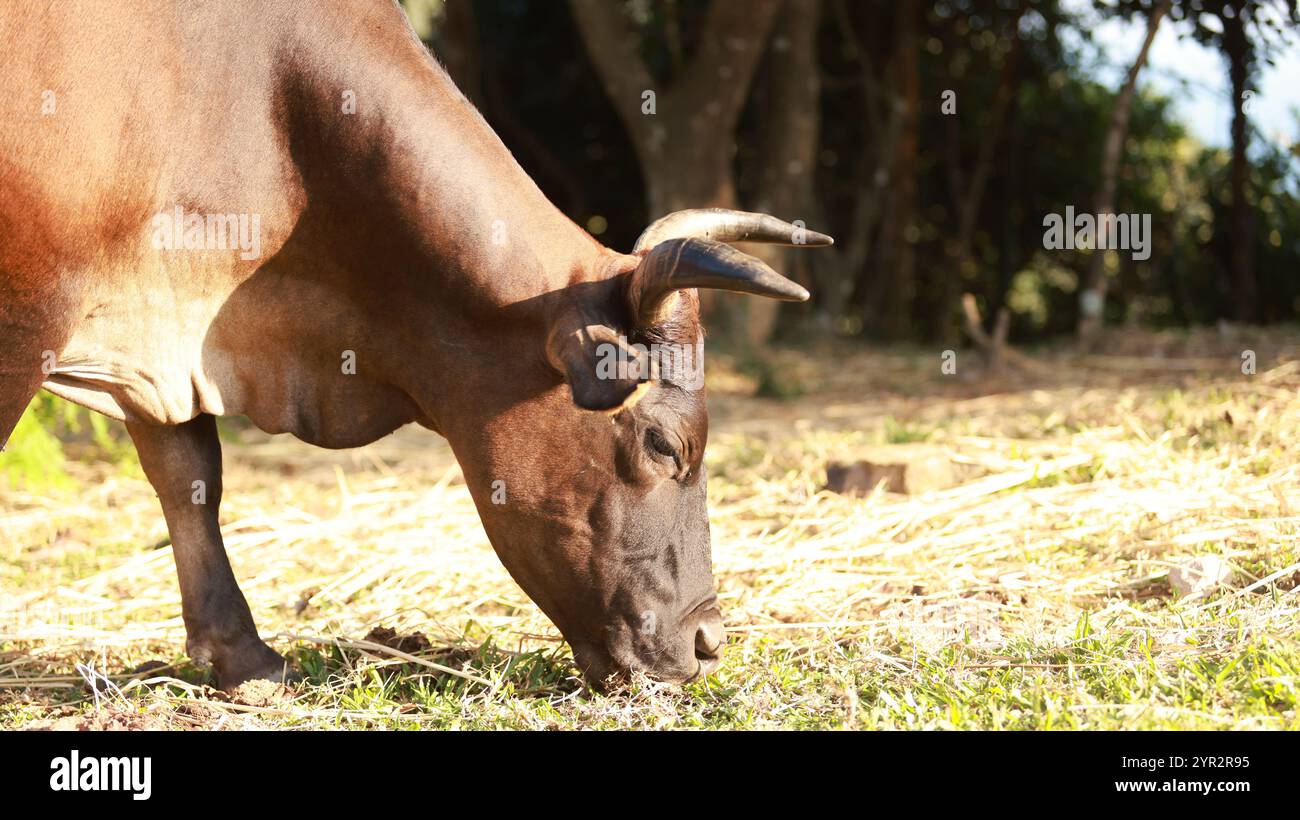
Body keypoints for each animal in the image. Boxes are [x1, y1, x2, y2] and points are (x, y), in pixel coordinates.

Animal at [0, 0, 831, 688]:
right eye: (664, 444)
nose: (707, 642)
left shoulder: (161, 327)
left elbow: (190, 475)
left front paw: (242, 656)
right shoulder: (31, 313)